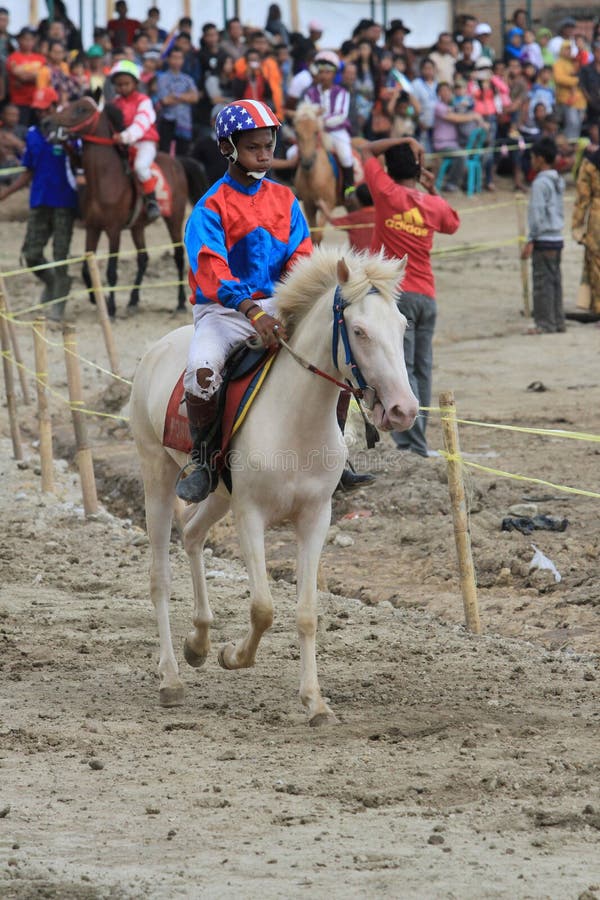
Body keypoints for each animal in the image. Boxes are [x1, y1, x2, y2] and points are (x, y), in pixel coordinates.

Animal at [45, 97, 207, 316]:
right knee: (143, 258)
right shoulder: (92, 228)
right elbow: (87, 268)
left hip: (174, 218)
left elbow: (111, 271)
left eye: (82, 109)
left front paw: (111, 308)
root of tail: (177, 161)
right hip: (137, 227)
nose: (47, 123)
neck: (104, 178)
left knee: (179, 256)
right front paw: (97, 299)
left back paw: (180, 302)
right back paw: (133, 300)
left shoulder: (113, 230)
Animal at [130, 246, 418, 725]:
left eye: (402, 327)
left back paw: (198, 643)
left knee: (192, 535)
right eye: (359, 331)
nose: (403, 410)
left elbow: (306, 613)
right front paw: (233, 656)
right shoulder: (251, 515)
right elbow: (263, 609)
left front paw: (315, 702)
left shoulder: (316, 518)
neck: (296, 417)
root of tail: (157, 348)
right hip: (158, 475)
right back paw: (170, 677)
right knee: (160, 577)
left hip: (218, 495)